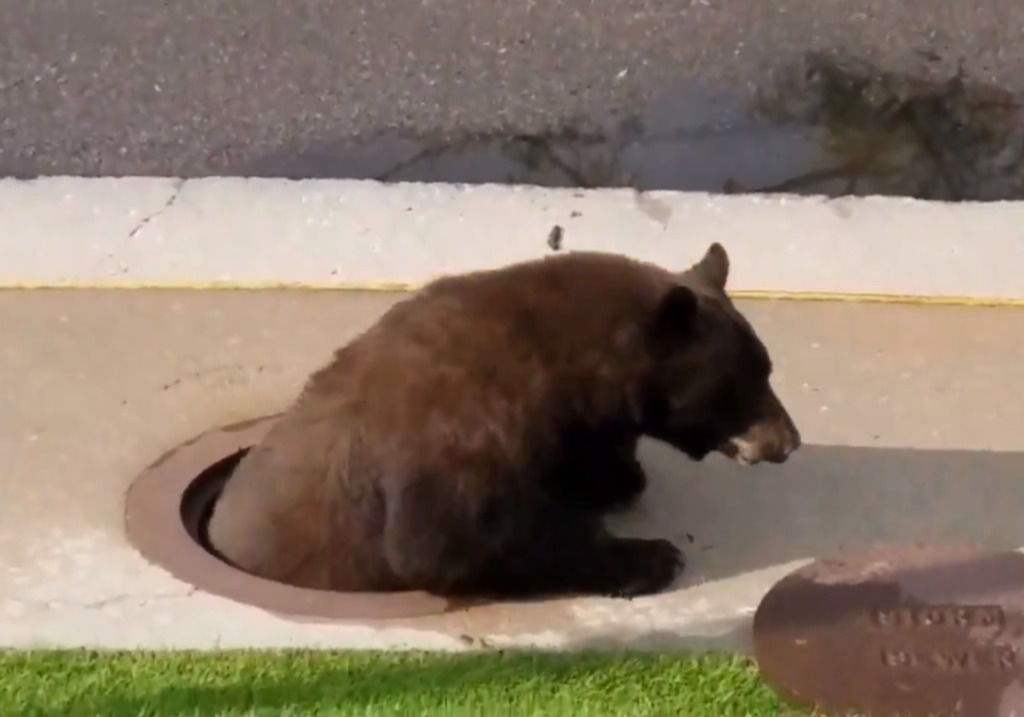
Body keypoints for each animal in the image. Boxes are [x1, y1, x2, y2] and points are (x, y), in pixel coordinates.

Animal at [205, 243, 801, 600]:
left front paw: (614, 479)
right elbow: (454, 539)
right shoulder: (468, 431)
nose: (788, 442)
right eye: (740, 383)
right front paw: (651, 557)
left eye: (766, 367)